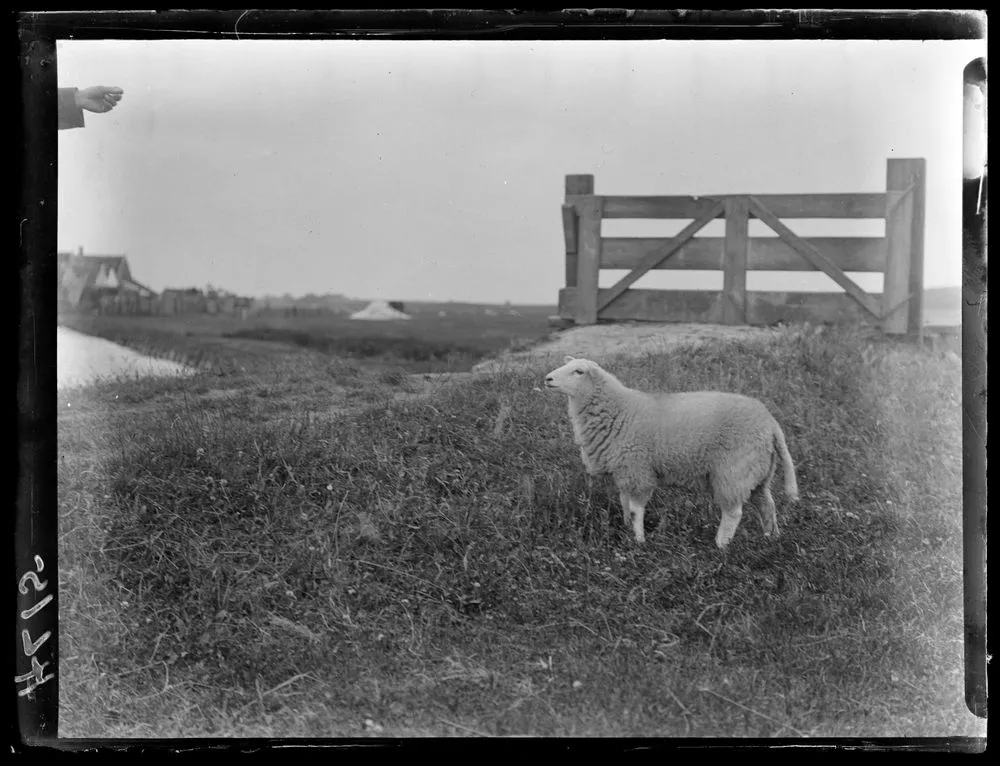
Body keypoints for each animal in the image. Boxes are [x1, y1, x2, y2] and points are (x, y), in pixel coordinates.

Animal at [544, 355, 798, 549]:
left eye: (578, 371)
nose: (547, 379)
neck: (620, 409)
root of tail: (771, 423)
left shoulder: (638, 468)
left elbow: (636, 509)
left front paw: (638, 541)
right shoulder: (625, 470)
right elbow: (624, 502)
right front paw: (626, 529)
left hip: (734, 469)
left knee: (734, 512)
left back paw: (721, 545)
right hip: (757, 471)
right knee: (767, 504)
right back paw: (771, 538)